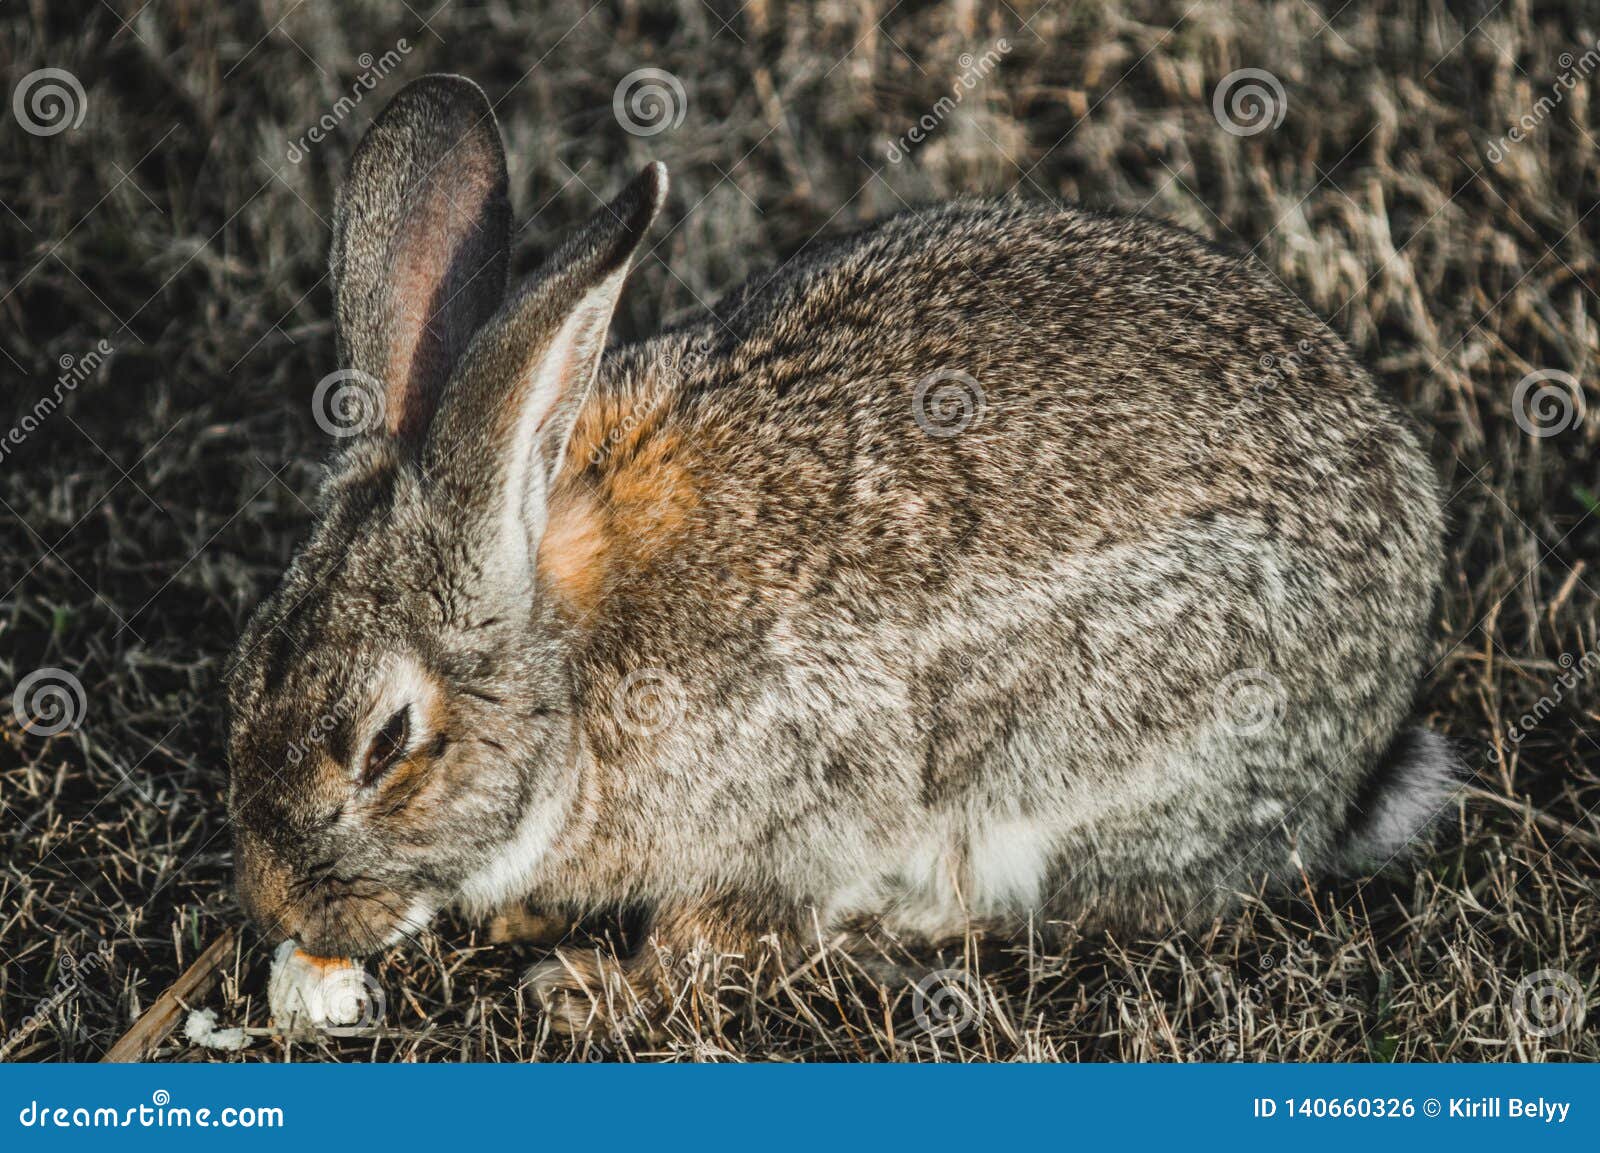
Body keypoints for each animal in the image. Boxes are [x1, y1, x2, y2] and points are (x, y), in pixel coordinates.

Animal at [225, 73, 1457, 1033]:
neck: (571, 657)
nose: (277, 909)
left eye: (386, 743)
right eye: (244, 679)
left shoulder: (788, 825)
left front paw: (581, 987)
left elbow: (709, 937)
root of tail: (1361, 747)